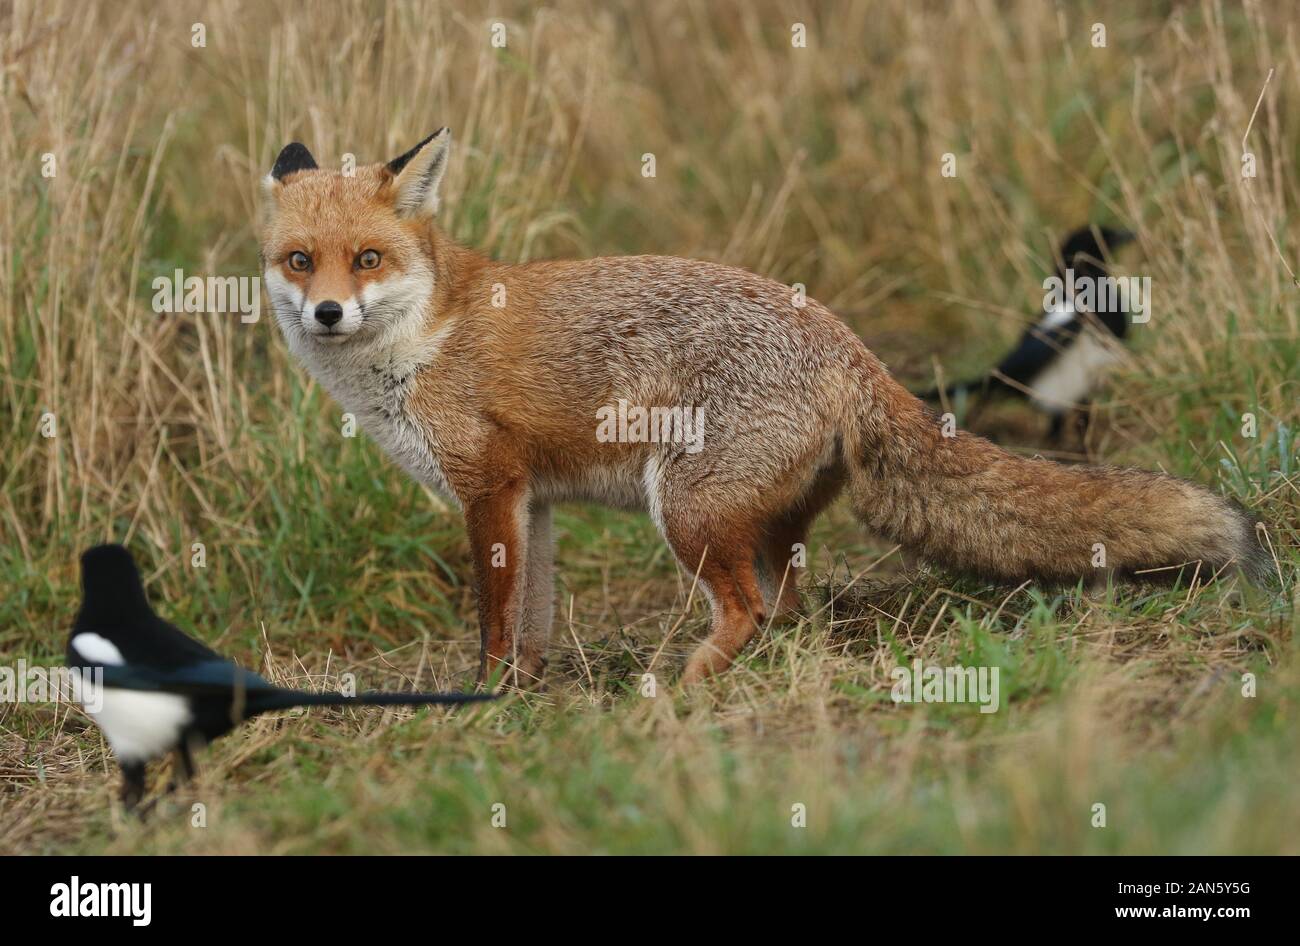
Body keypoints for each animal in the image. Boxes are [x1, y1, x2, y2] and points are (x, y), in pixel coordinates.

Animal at [260, 129, 1267, 687]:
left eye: (369, 259)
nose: (327, 313)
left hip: (687, 510)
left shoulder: (488, 489)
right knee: (787, 611)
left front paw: (486, 697)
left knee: (747, 611)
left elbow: (497, 621)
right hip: (758, 522)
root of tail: (844, 341)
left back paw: (683, 685)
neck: (421, 340)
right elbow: (533, 618)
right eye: (301, 261)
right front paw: (525, 690)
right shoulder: (527, 500)